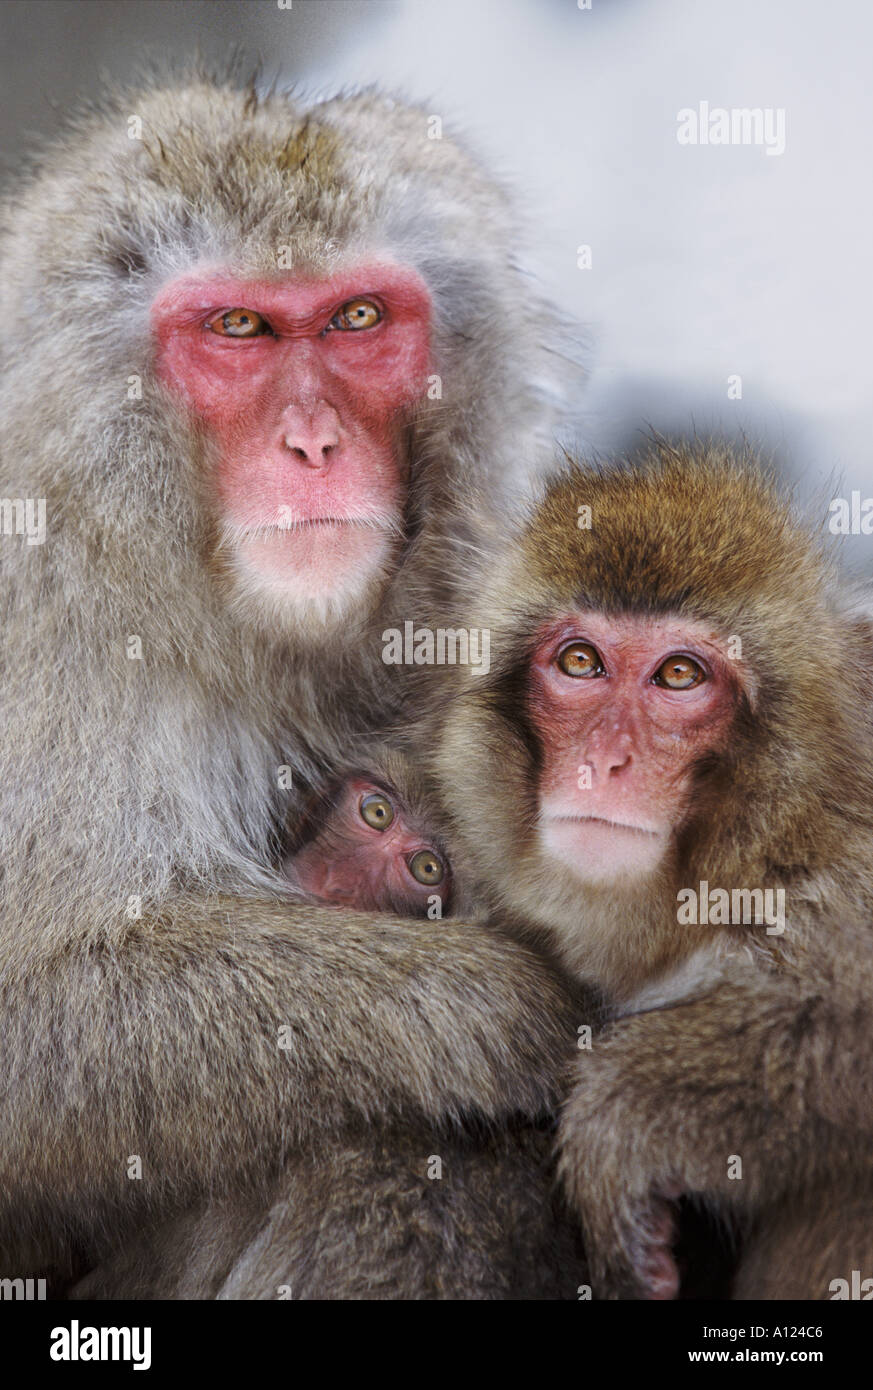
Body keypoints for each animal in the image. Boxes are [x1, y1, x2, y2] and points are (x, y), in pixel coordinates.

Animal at [0, 74, 588, 1296]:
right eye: (239, 329)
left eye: (357, 319)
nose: (312, 445)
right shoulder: (38, 639)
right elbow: (28, 1013)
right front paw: (489, 1013)